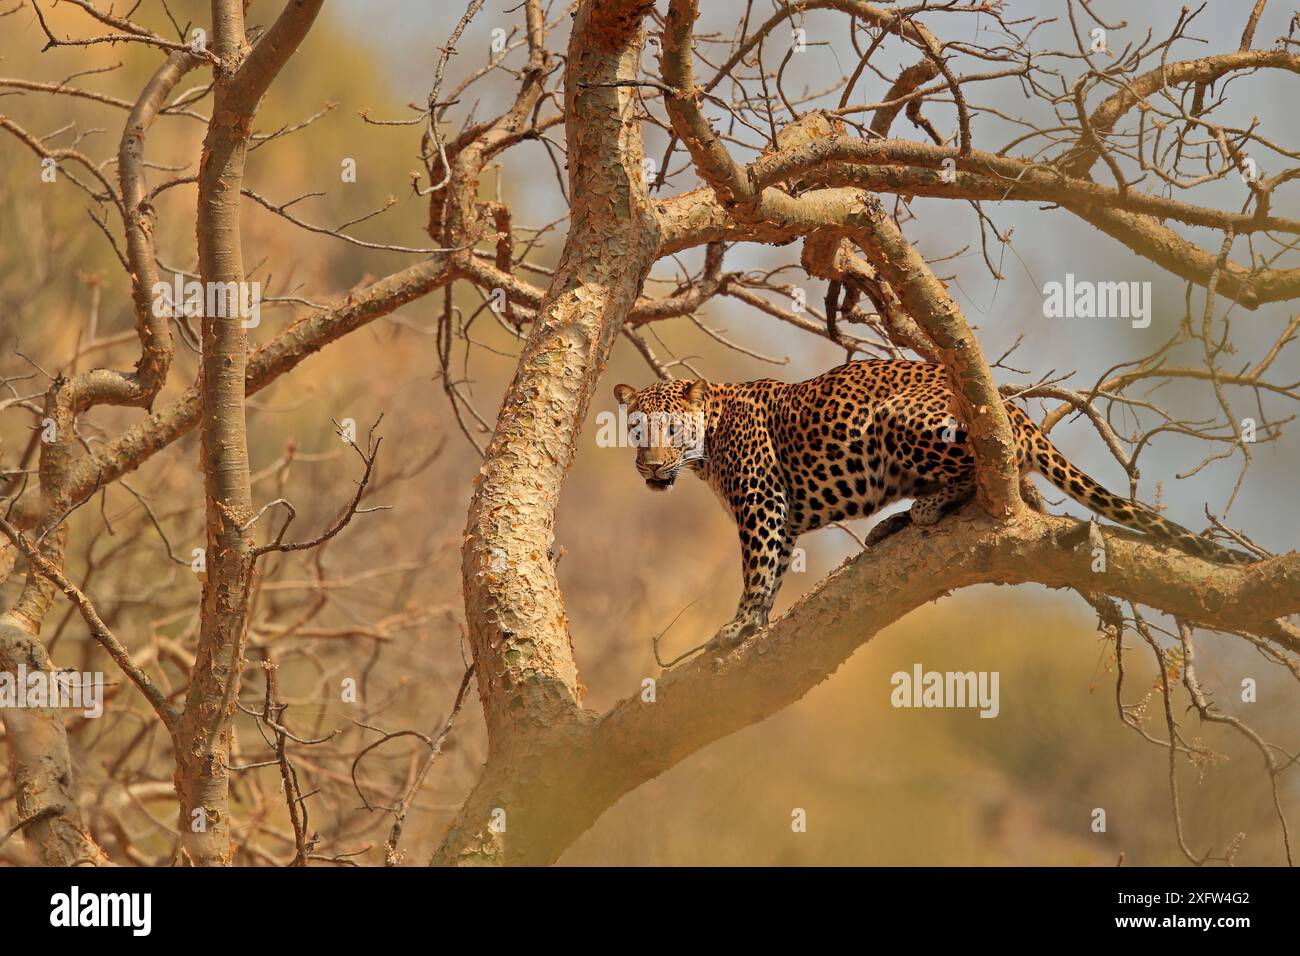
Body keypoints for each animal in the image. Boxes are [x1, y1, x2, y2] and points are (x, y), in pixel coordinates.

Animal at [613, 360, 1253, 649]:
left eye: (671, 429)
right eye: (638, 428)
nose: (648, 467)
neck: (709, 445)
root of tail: (1016, 413)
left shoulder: (764, 501)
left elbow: (759, 566)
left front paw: (740, 625)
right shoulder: (778, 513)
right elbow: (771, 569)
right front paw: (757, 623)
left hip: (902, 419)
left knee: (980, 476)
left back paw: (919, 512)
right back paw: (893, 524)